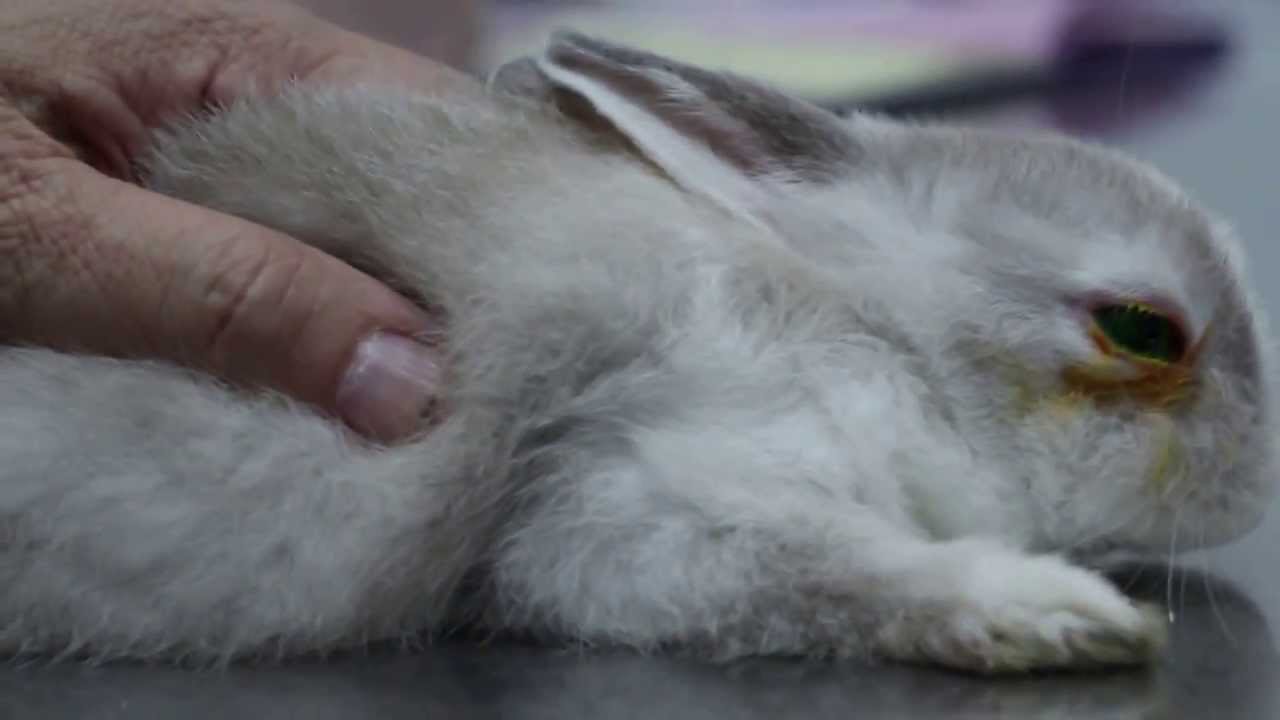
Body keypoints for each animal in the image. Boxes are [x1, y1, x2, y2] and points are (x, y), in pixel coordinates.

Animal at [0, 31, 1273, 674]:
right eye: (1140, 328)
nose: (1254, 489)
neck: (883, 341)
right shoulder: (641, 483)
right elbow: (837, 567)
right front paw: (1058, 617)